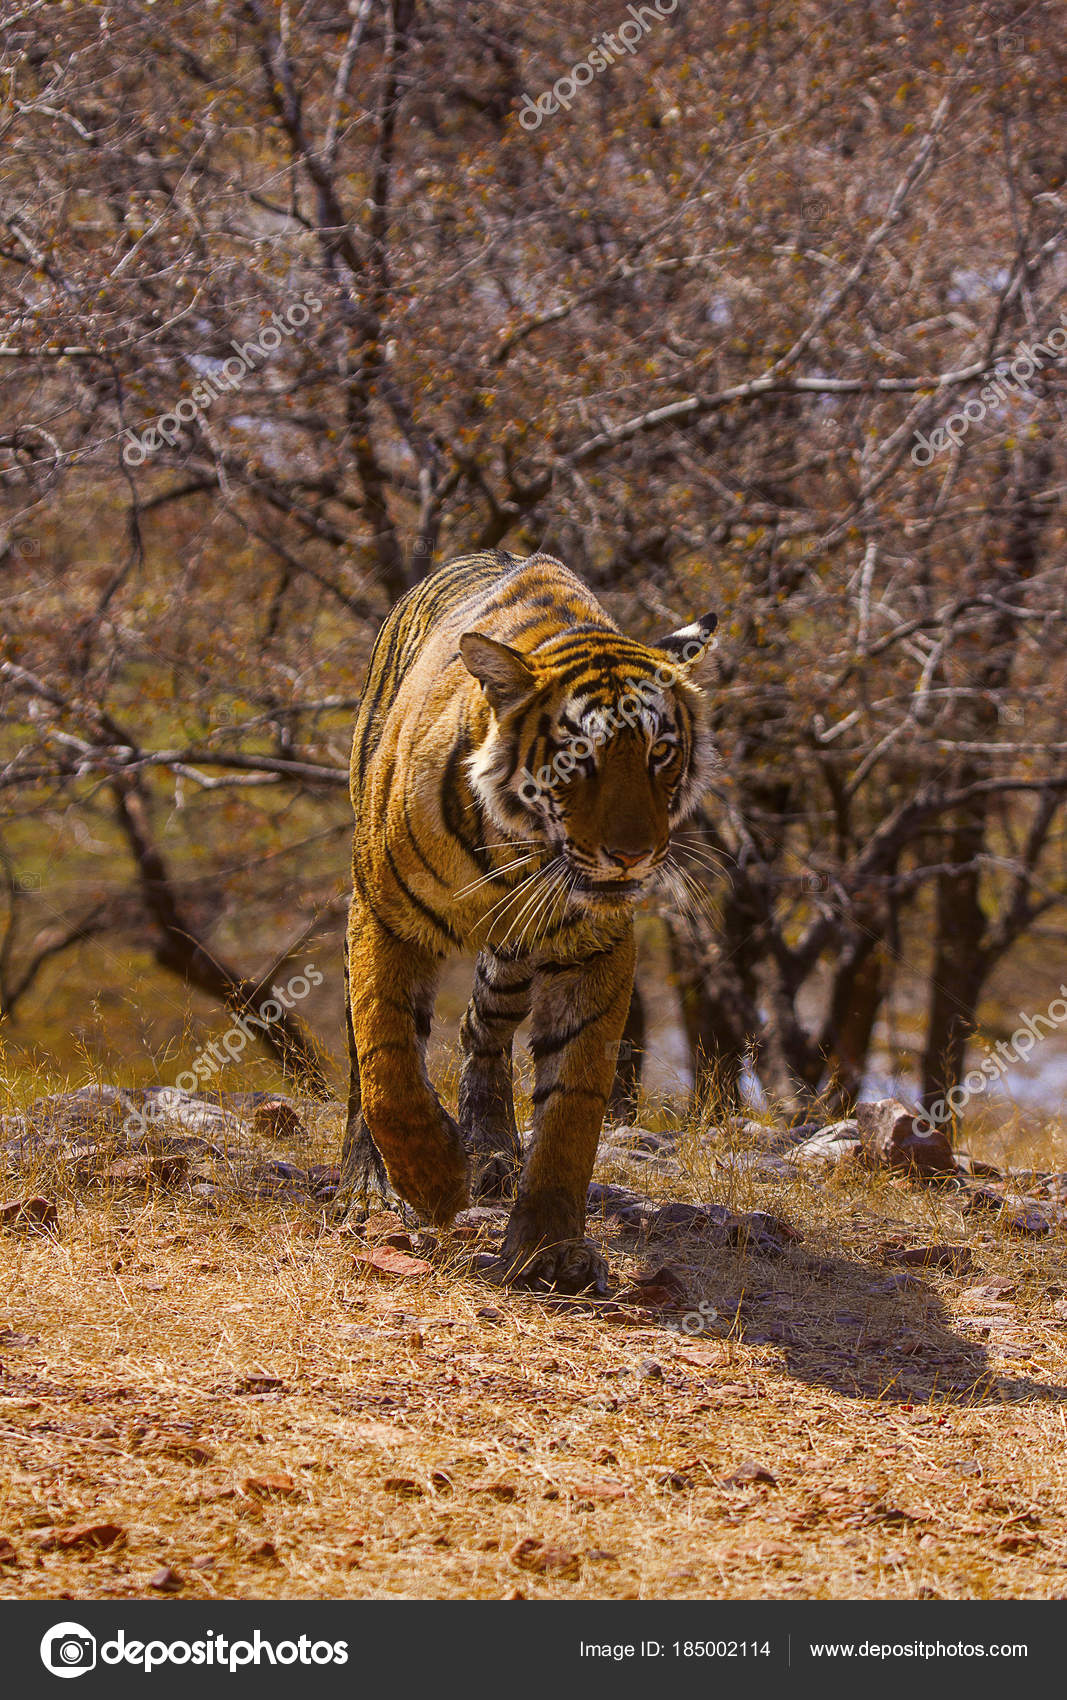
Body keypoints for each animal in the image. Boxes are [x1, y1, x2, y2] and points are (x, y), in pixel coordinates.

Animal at [341, 548, 718, 1293]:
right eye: (581, 757)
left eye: (660, 752)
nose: (632, 855)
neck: (519, 849)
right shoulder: (384, 917)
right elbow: (386, 1063)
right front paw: (431, 1183)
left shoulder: (595, 949)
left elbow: (572, 1104)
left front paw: (549, 1249)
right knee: (364, 1060)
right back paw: (367, 1182)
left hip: (511, 957)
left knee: (478, 1030)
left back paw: (490, 1151)